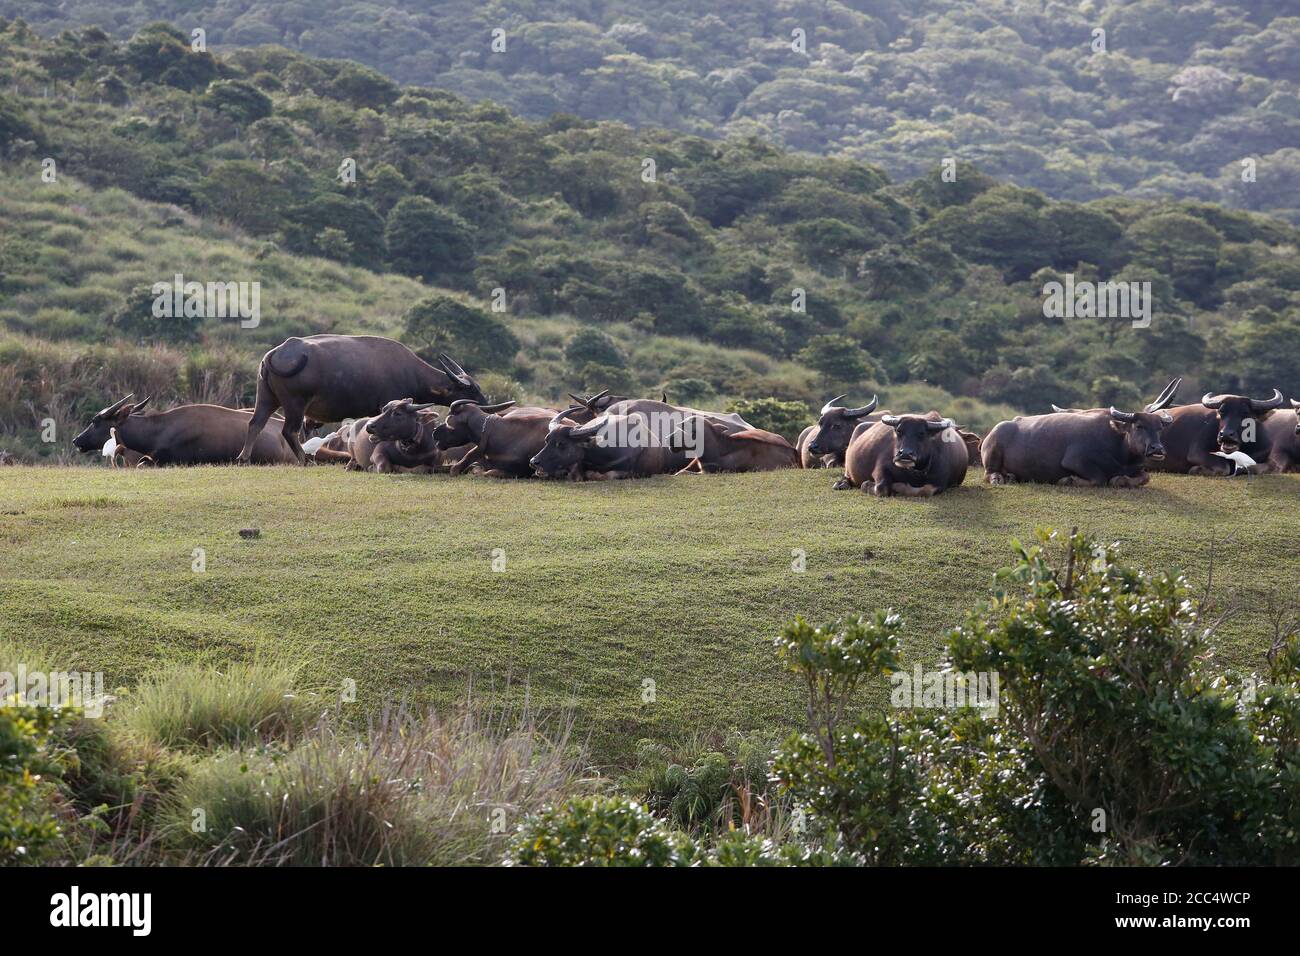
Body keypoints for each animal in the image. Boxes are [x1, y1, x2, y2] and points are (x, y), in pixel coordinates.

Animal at [237, 335, 486, 464]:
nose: (484, 405)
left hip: (266, 398)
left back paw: (243, 458)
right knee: (289, 431)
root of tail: (275, 353)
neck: (411, 372)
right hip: (295, 404)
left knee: (255, 423)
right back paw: (305, 460)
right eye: (472, 391)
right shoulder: (383, 405)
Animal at [1152, 389, 1287, 476]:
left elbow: (1267, 466)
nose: (1226, 434)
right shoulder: (1198, 452)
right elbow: (1223, 467)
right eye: (1222, 412)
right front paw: (1196, 470)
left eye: (1245, 413)